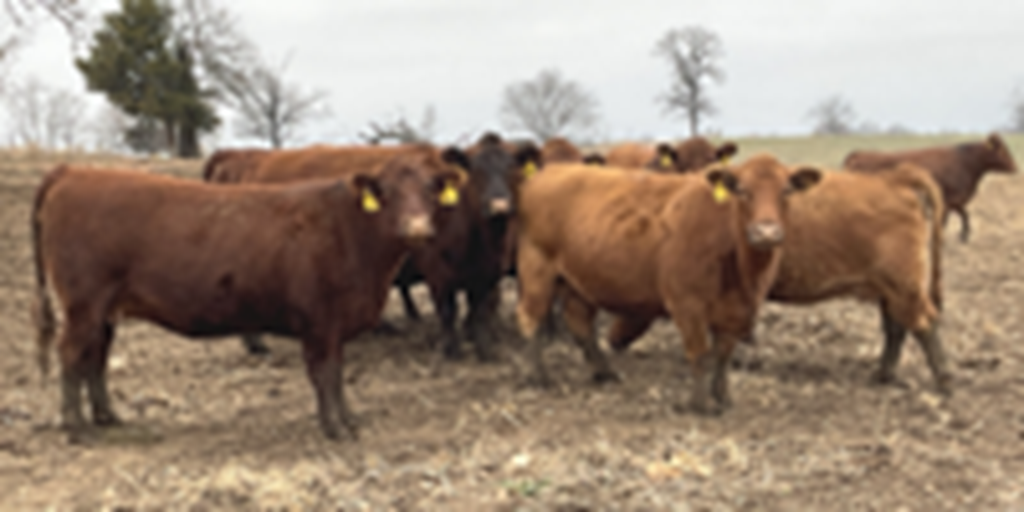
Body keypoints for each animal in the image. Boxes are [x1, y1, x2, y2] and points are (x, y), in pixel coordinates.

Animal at [30, 152, 464, 442]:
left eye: (431, 189)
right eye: (386, 193)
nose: (417, 227)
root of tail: (72, 171)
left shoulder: (334, 326)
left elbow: (336, 376)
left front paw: (348, 419)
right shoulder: (321, 323)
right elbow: (325, 375)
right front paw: (335, 427)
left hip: (104, 308)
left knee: (96, 356)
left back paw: (106, 417)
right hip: (83, 304)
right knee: (72, 355)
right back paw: (74, 427)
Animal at [514, 155, 821, 413]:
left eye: (786, 191)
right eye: (742, 190)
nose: (766, 232)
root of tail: (551, 170)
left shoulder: (735, 311)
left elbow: (723, 356)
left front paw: (722, 396)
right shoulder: (686, 305)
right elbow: (699, 352)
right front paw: (700, 404)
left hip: (578, 283)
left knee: (579, 323)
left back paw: (605, 373)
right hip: (537, 269)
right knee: (531, 318)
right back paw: (537, 375)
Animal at [608, 163, 953, 395]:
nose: (611, 340)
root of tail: (894, 177)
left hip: (904, 284)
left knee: (925, 323)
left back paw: (944, 380)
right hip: (890, 288)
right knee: (897, 327)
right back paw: (884, 375)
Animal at [843, 133, 1018, 242]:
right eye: (1003, 151)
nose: (1015, 167)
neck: (964, 163)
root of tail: (859, 154)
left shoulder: (953, 201)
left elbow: (964, 215)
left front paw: (963, 237)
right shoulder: (946, 201)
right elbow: (946, 221)